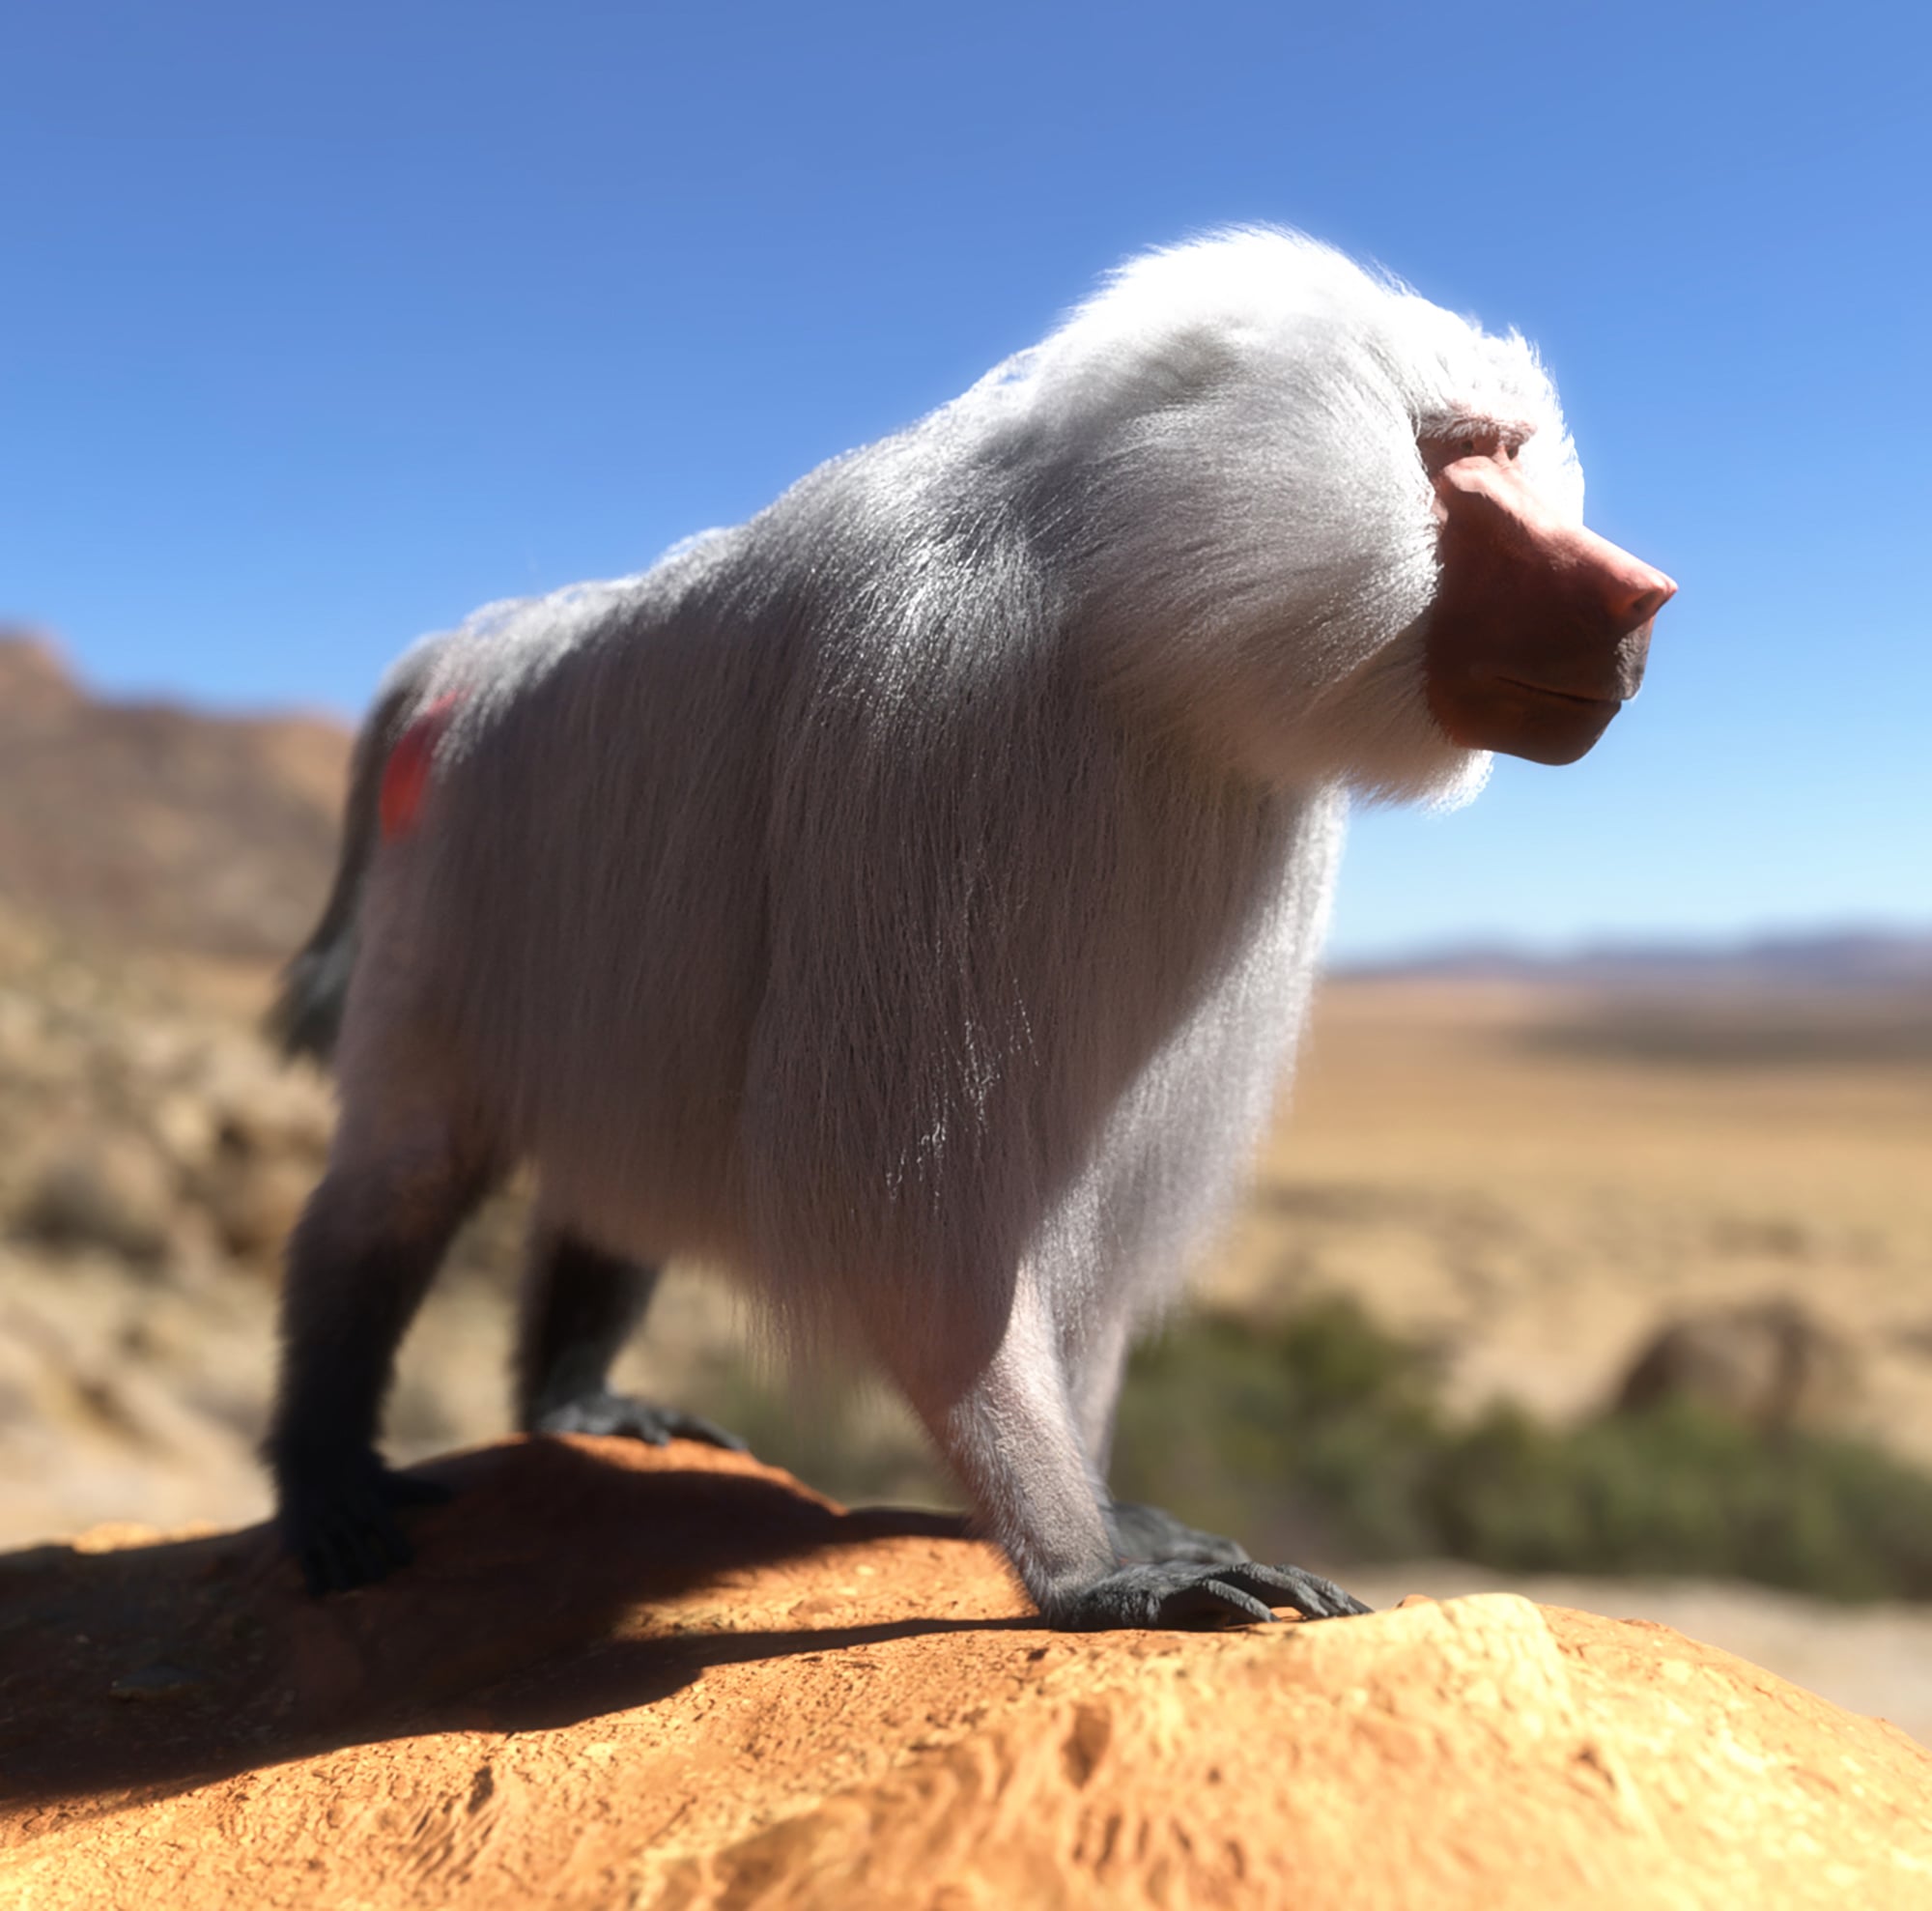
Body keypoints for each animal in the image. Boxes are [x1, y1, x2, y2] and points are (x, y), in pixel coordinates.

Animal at [265, 228, 1675, 1628]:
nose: (1643, 594)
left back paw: (574, 1402)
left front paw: (1114, 1517)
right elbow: (902, 1194)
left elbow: (1096, 1228)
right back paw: (327, 1475)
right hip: (451, 896)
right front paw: (1089, 1572)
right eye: (1467, 462)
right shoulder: (930, 713)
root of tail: (465, 661)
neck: (1128, 612)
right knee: (410, 1172)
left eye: (1514, 453)